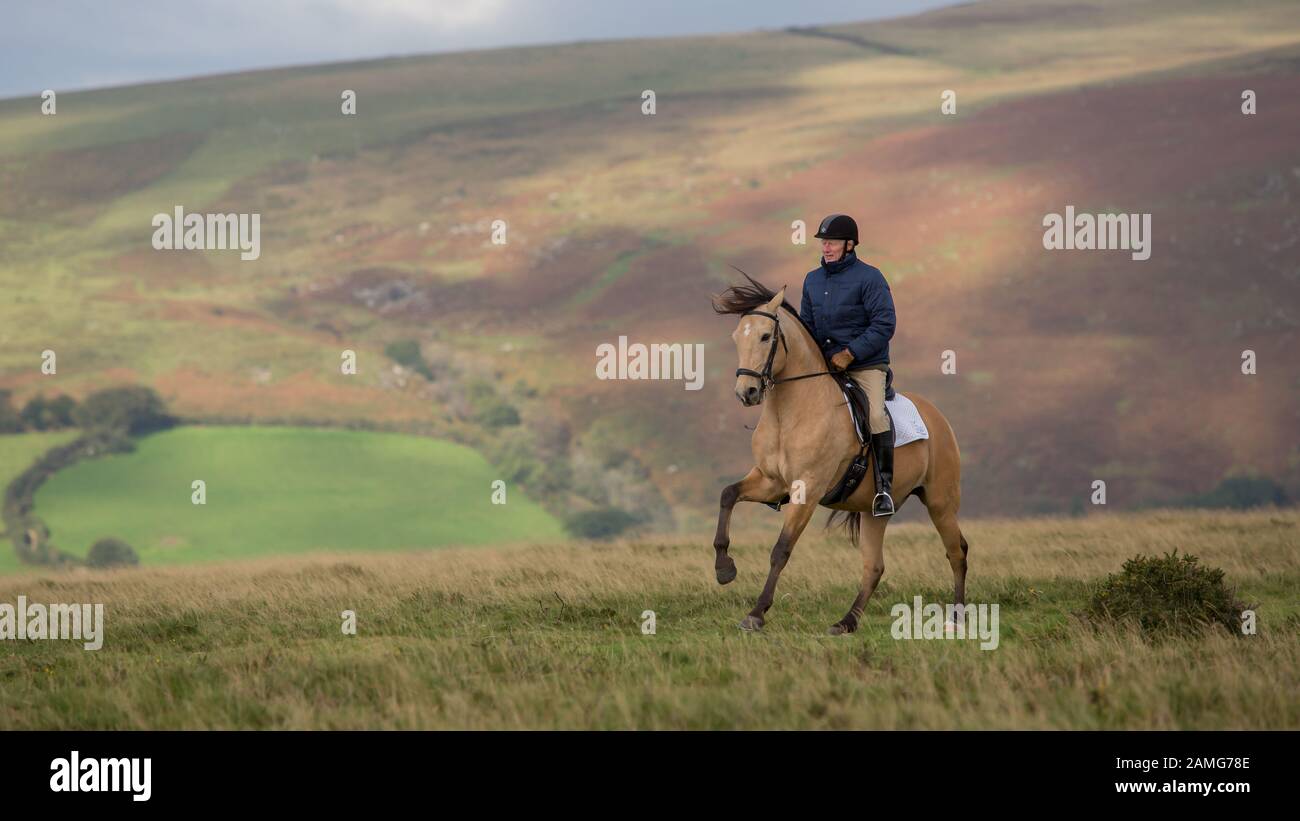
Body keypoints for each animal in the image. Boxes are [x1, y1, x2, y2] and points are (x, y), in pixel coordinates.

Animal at [711, 273, 968, 634]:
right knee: (874, 567)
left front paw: (756, 613)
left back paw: (956, 618)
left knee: (956, 551)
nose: (746, 392)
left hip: (940, 502)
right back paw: (846, 622)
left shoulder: (807, 488)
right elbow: (728, 495)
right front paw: (724, 568)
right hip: (876, 513)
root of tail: (938, 418)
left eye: (765, 336)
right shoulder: (770, 481)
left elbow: (781, 549)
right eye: (737, 337)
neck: (789, 413)